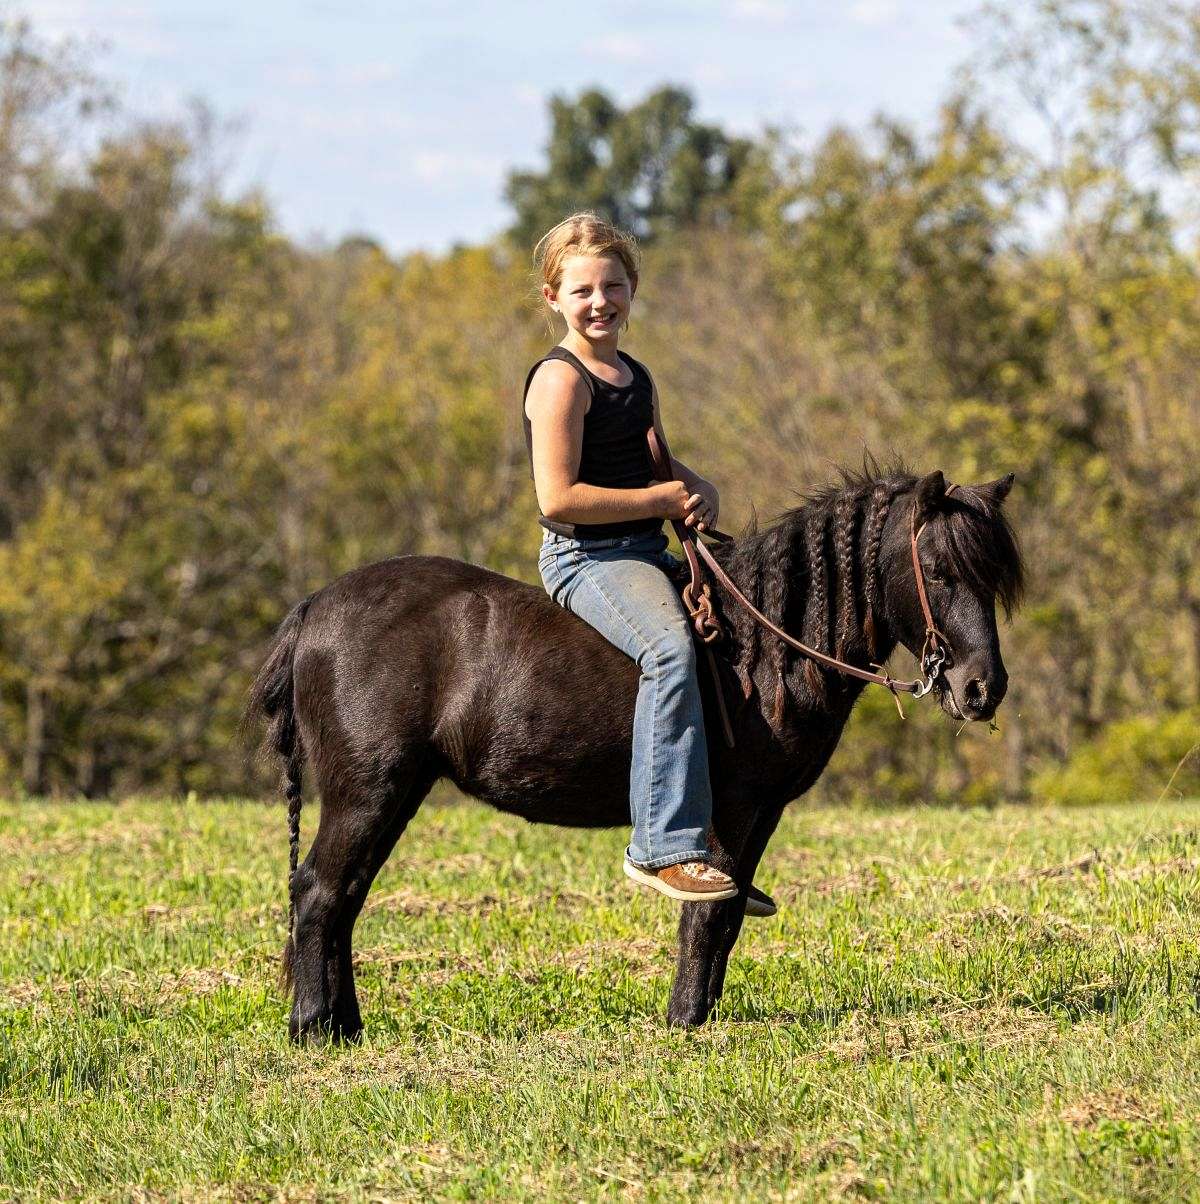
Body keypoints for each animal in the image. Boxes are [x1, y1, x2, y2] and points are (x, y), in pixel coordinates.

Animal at [244, 462, 1024, 1043]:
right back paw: (314, 1028)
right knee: (319, 890)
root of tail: (314, 609)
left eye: (992, 577)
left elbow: (728, 915)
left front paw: (702, 1013)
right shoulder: (732, 806)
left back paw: (346, 1024)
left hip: (393, 790)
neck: (762, 641)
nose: (983, 689)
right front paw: (685, 1022)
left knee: (344, 895)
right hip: (368, 789)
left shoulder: (763, 810)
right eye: (938, 569)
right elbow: (706, 913)